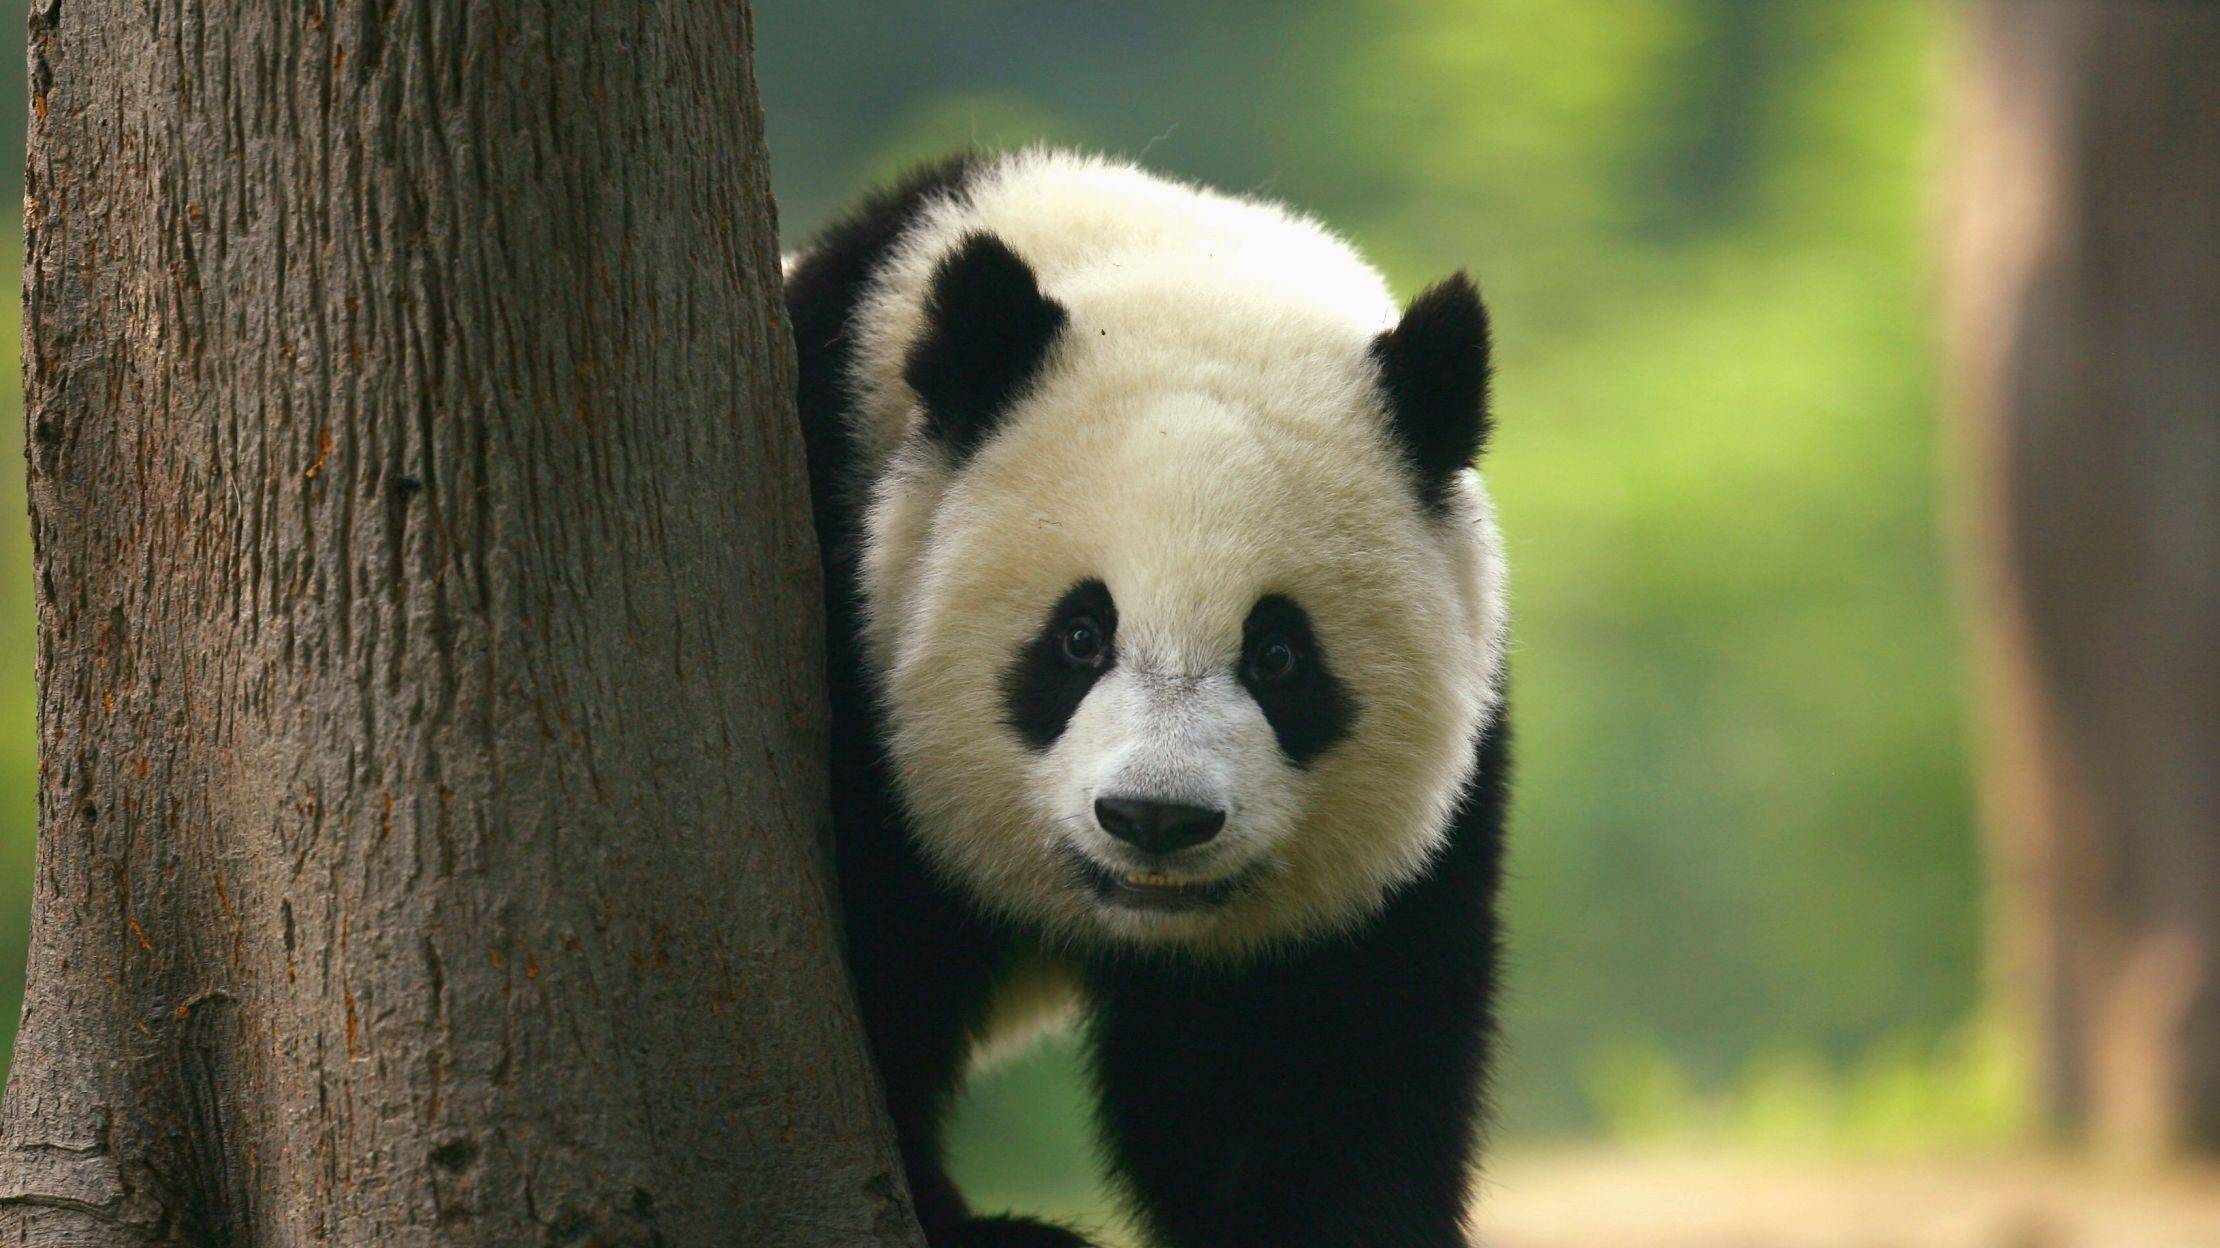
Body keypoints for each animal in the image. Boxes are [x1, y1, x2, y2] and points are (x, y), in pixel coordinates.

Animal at [784, 148, 1511, 1248]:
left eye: (1279, 656)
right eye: (1081, 637)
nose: (1156, 819)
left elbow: (1317, 1061)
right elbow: (883, 965)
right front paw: (979, 1228)